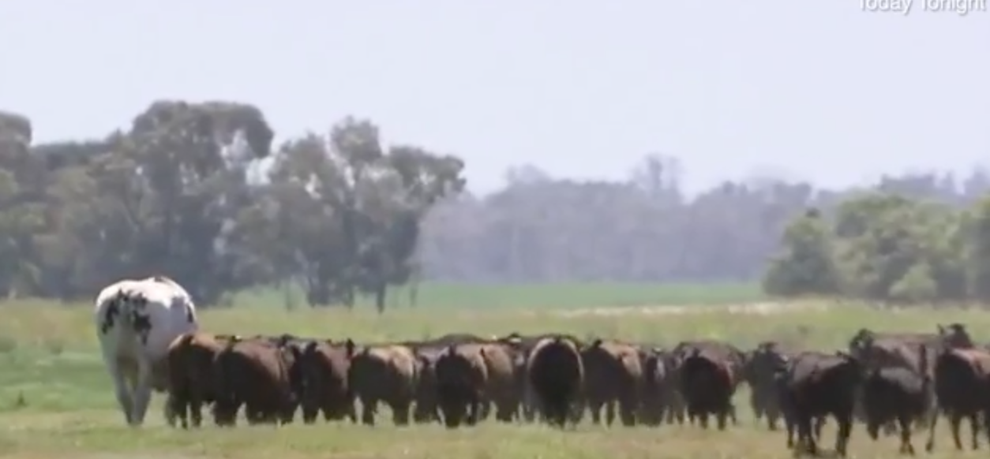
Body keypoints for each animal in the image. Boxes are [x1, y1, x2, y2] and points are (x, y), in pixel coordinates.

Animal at [94, 275, 198, 426]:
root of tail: (126, 293)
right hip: (145, 359)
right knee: (142, 395)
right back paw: (137, 421)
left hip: (111, 357)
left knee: (123, 393)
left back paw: (132, 421)